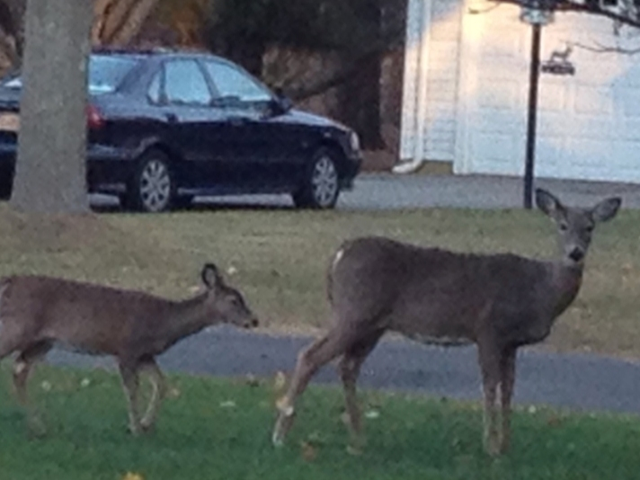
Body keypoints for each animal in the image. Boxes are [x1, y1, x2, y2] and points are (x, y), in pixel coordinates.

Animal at [0, 262, 258, 436]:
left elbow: (161, 383)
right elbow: (132, 389)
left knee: (19, 372)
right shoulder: (127, 349)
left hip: (41, 342)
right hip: (18, 328)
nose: (254, 321)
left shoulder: (145, 354)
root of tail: (8, 282)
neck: (163, 323)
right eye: (234, 300)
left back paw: (39, 426)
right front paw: (135, 427)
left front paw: (146, 424)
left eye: (243, 297)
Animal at [272, 188, 621, 456]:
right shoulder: (488, 329)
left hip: (373, 324)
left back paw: (359, 439)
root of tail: (339, 253)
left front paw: (507, 445)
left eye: (590, 227)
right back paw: (280, 435)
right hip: (354, 312)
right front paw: (490, 447)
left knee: (347, 367)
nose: (575, 253)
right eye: (562, 225)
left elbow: (509, 389)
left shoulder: (512, 343)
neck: (538, 291)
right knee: (310, 355)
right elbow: (489, 386)